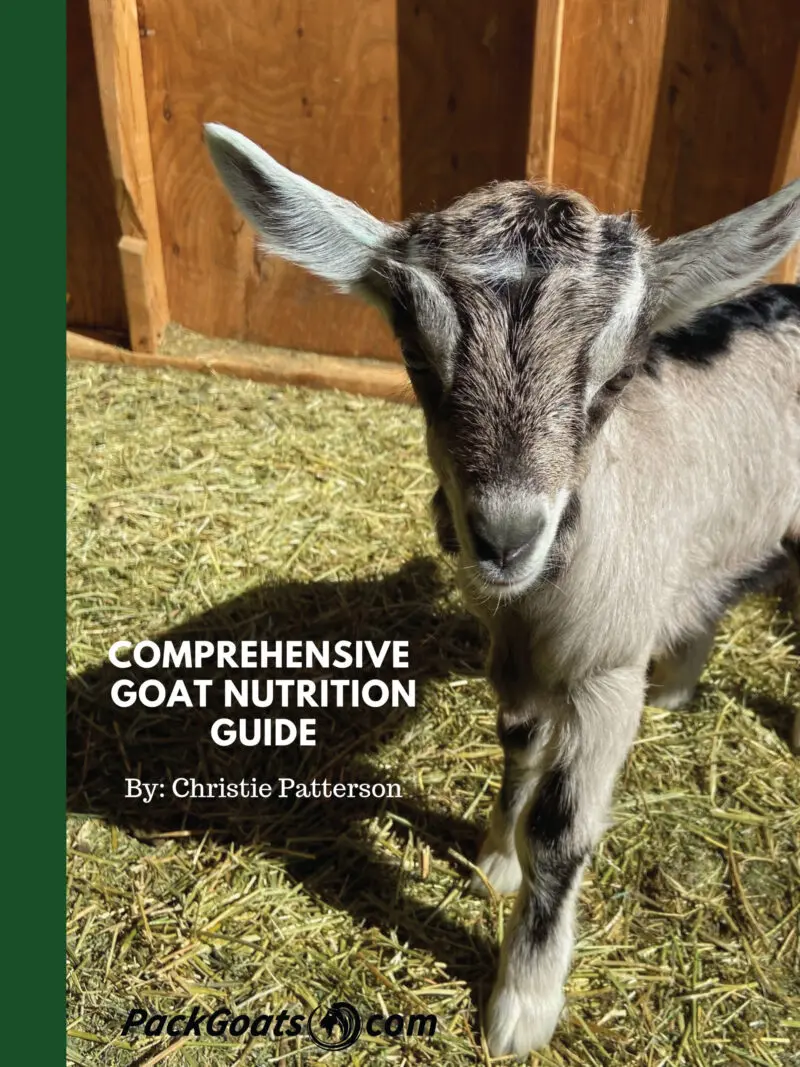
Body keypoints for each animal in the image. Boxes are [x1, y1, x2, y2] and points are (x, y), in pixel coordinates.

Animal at [205, 123, 800, 1058]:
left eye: (615, 375)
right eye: (415, 355)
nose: (506, 536)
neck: (544, 596)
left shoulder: (604, 670)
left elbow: (563, 829)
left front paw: (521, 1004)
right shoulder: (512, 647)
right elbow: (518, 741)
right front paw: (494, 858)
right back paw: (677, 691)